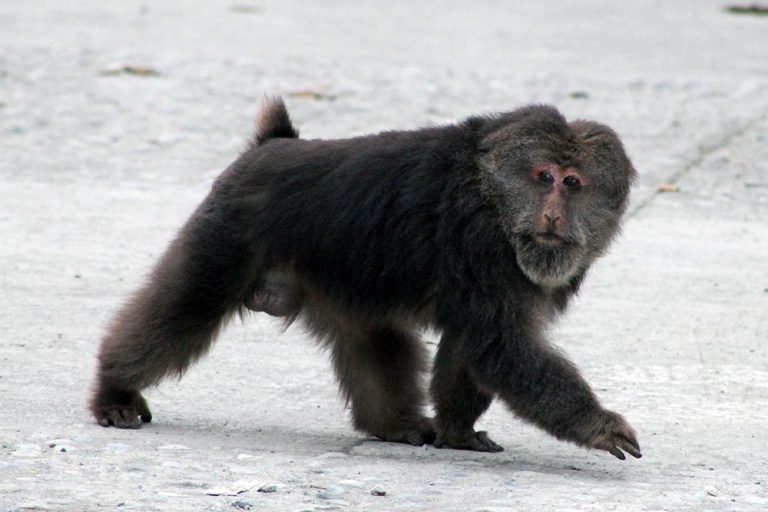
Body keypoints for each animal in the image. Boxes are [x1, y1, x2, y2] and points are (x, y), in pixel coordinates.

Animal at [90, 96, 642, 460]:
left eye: (573, 183)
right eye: (544, 177)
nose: (552, 215)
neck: (494, 196)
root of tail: (272, 146)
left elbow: (474, 344)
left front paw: (458, 432)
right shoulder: (480, 244)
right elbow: (499, 344)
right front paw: (597, 424)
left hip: (330, 275)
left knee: (374, 336)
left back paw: (392, 425)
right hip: (229, 230)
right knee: (190, 306)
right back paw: (115, 388)